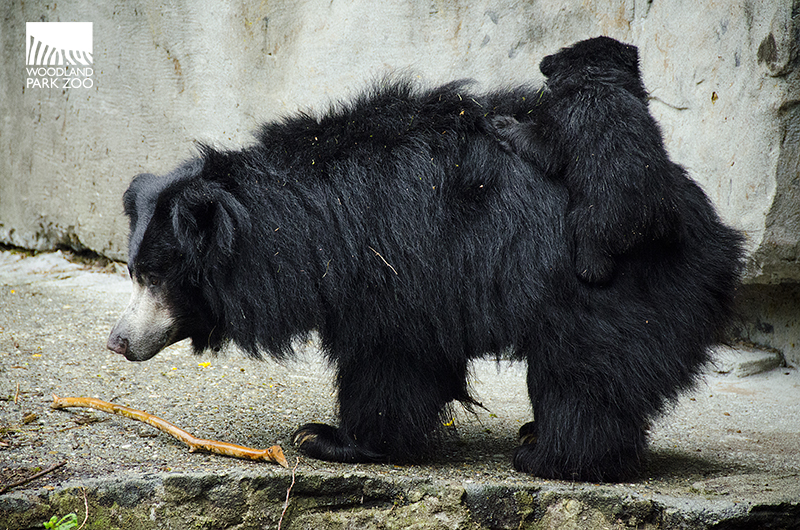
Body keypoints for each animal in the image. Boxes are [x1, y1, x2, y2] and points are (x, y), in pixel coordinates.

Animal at [107, 71, 744, 482]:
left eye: (154, 276)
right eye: (132, 271)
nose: (117, 341)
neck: (306, 226)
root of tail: (709, 232)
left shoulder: (396, 261)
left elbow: (393, 359)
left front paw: (329, 438)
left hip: (601, 290)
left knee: (584, 376)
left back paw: (552, 458)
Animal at [493, 36, 682, 285]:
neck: (596, 79)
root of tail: (643, 225)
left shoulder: (568, 118)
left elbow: (547, 148)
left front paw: (503, 125)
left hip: (591, 218)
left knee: (590, 252)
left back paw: (588, 273)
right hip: (667, 210)